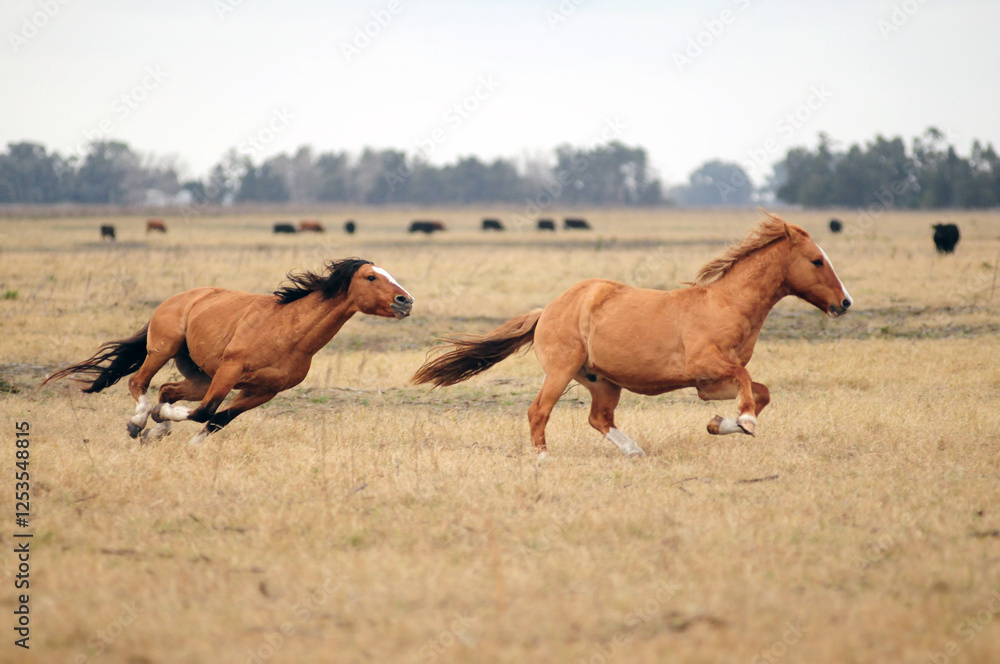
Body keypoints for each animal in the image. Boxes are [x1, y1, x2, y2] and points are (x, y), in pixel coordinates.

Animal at [43, 258, 413, 446]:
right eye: (371, 277)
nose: (405, 300)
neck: (288, 332)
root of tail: (178, 299)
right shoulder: (230, 372)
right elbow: (204, 413)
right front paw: (161, 422)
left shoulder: (264, 391)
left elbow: (218, 420)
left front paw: (184, 440)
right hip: (164, 349)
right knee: (140, 383)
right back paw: (139, 424)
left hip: (199, 377)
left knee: (167, 388)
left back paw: (155, 429)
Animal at [412, 212, 852, 457]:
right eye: (817, 260)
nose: (844, 302)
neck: (726, 304)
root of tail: (547, 309)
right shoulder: (707, 365)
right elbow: (748, 384)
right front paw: (744, 422)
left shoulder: (708, 385)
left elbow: (760, 391)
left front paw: (723, 424)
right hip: (561, 371)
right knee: (539, 411)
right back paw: (543, 458)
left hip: (603, 381)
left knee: (599, 418)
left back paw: (634, 450)